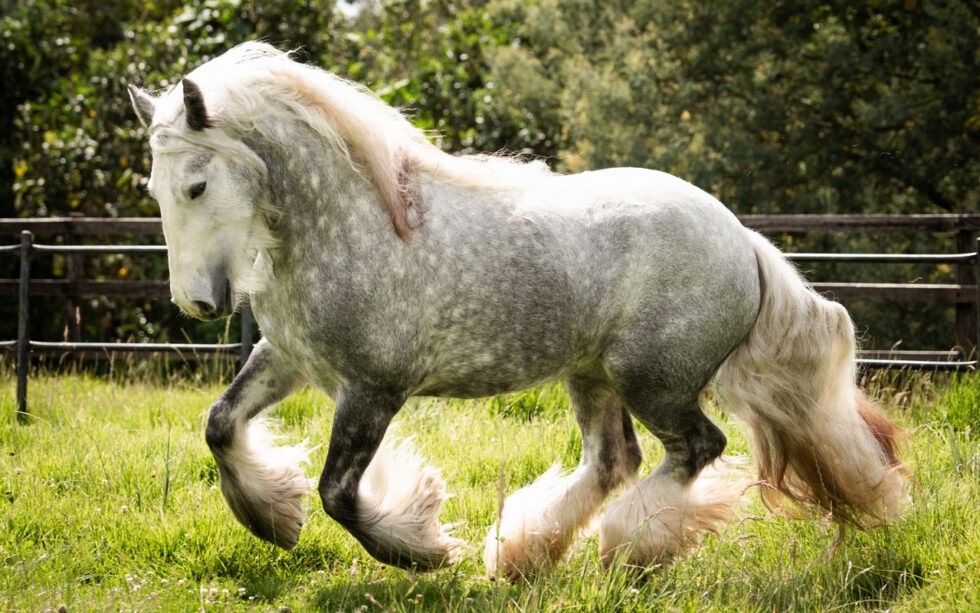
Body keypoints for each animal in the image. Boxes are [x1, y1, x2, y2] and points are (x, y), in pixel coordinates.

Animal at [128, 42, 907, 580]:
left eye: (196, 185)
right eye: (155, 188)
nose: (197, 302)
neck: (353, 226)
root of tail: (742, 238)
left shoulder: (374, 388)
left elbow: (339, 494)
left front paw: (422, 548)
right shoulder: (287, 358)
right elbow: (220, 424)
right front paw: (272, 518)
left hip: (653, 378)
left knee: (694, 448)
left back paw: (626, 546)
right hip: (592, 374)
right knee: (613, 460)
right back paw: (524, 553)